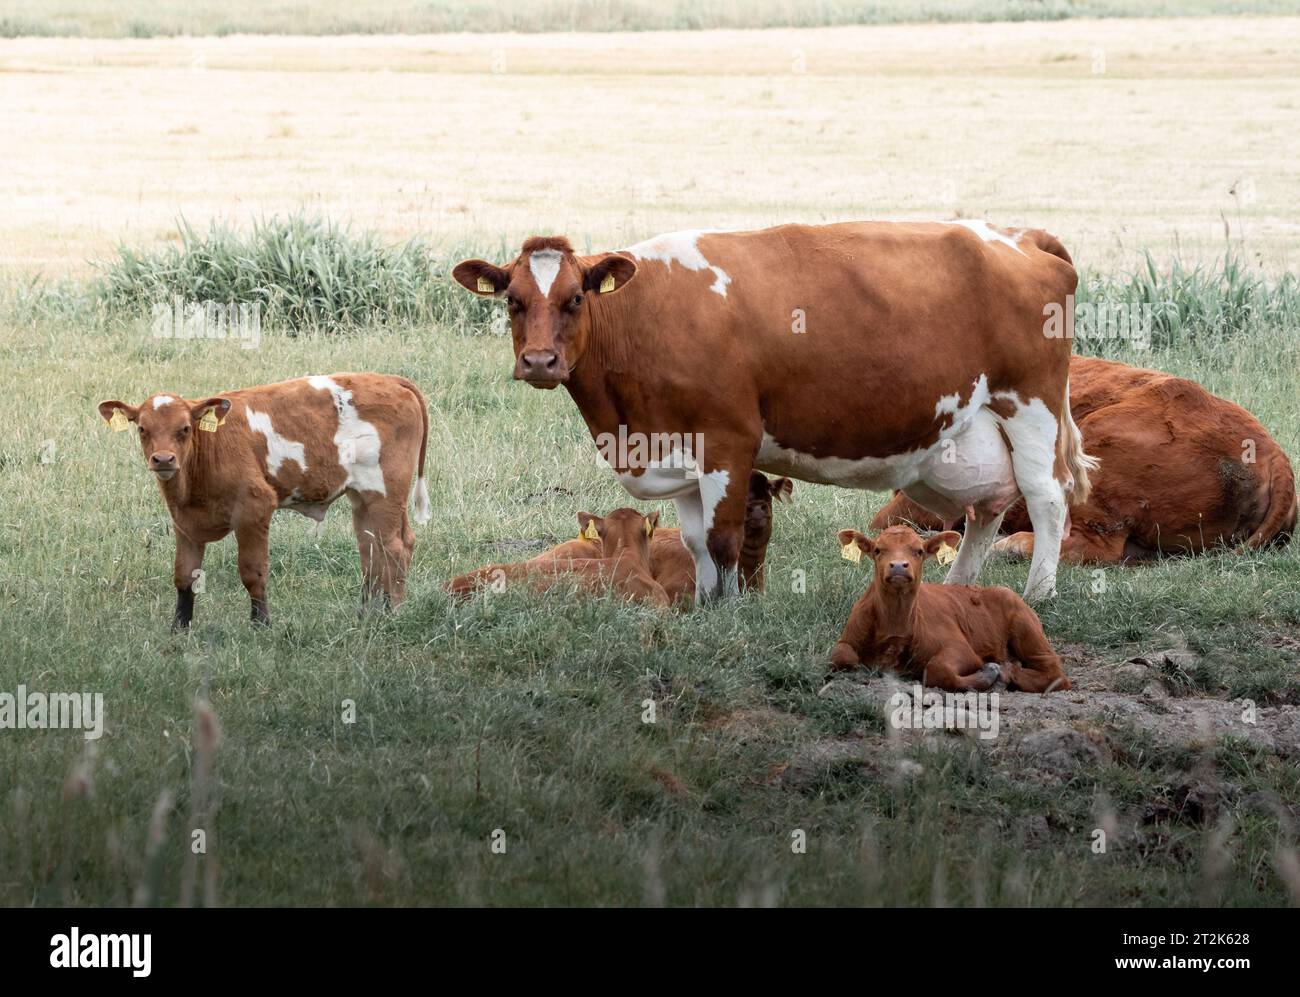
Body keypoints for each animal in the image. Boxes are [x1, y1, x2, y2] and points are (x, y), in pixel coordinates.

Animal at [98, 374, 430, 628]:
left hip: (386, 492)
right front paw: (180, 627)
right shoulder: (184, 521)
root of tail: (391, 379)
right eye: (143, 429)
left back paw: (393, 612)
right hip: (364, 497)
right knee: (373, 550)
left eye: (185, 429)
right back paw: (366, 614)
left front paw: (261, 624)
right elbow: (184, 575)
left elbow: (252, 572)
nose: (163, 459)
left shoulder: (254, 509)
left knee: (393, 549)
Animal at [831, 525, 1071, 693]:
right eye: (878, 550)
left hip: (1028, 630)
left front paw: (987, 674)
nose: (898, 565)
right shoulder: (847, 639)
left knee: (1055, 673)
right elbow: (842, 656)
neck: (895, 628)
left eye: (919, 551)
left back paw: (1006, 671)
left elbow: (938, 670)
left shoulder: (961, 648)